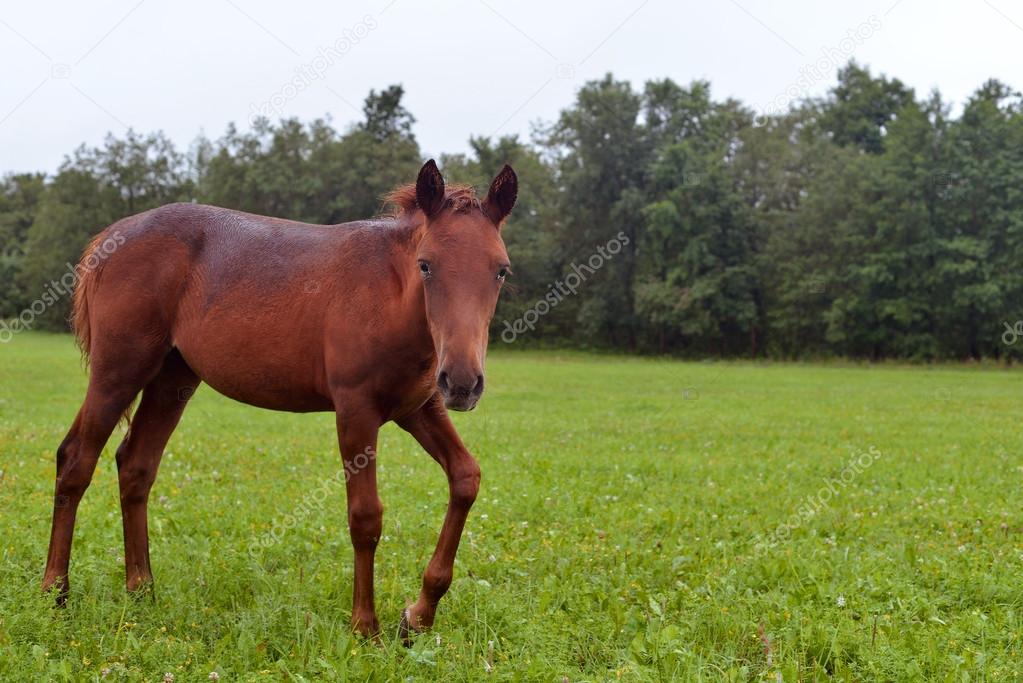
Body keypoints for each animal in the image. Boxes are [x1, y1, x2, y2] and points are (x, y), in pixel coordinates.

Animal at [41, 159, 517, 640]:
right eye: (425, 265)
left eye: (501, 270)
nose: (463, 382)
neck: (389, 296)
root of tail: (112, 235)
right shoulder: (356, 411)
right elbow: (365, 516)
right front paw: (365, 626)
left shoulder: (420, 408)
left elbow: (466, 477)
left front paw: (418, 613)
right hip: (118, 372)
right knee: (76, 458)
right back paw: (55, 593)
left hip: (172, 379)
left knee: (136, 465)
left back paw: (141, 589)